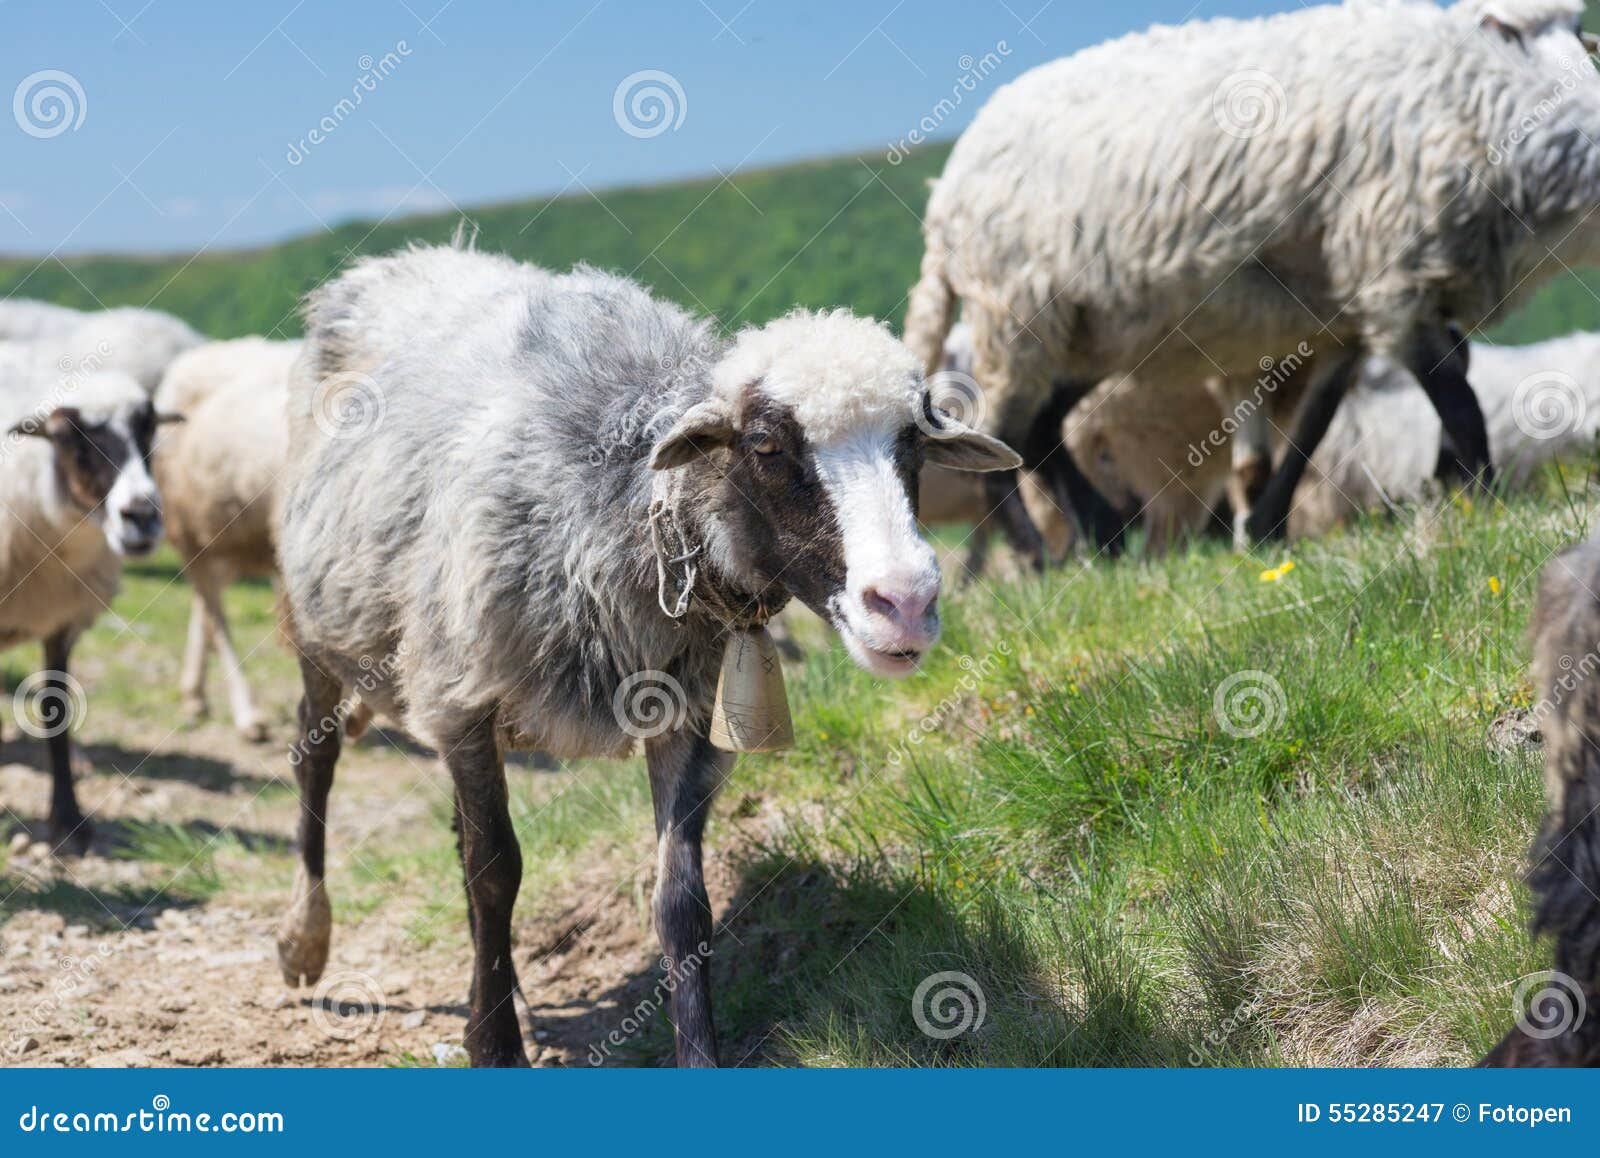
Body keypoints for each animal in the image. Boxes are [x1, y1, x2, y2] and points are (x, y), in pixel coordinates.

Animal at [0, 352, 180, 851]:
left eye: (149, 428)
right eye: (66, 438)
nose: (141, 515)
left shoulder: (63, 620)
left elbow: (56, 709)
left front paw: (69, 820)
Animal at [152, 337, 300, 742]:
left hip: (233, 536)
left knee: (205, 601)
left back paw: (195, 694)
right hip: (189, 524)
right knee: (214, 610)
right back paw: (246, 713)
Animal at [273, 243, 1020, 1067]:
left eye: (913, 445)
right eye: (765, 445)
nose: (907, 601)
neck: (635, 511)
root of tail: (407, 258)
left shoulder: (685, 716)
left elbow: (681, 901)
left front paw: (698, 1055)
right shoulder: (462, 694)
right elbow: (495, 871)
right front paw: (494, 1048)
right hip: (323, 631)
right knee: (315, 756)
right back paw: (305, 939)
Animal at [905, 0, 1600, 565]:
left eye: (1578, 30)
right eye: (1511, 30)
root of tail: (942, 197)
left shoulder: (1341, 314)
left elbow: (1313, 427)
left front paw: (1267, 529)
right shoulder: (1393, 277)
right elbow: (1458, 400)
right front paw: (1485, 499)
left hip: (1097, 327)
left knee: (1043, 425)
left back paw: (1102, 537)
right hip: (1017, 311)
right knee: (1001, 433)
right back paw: (1041, 556)